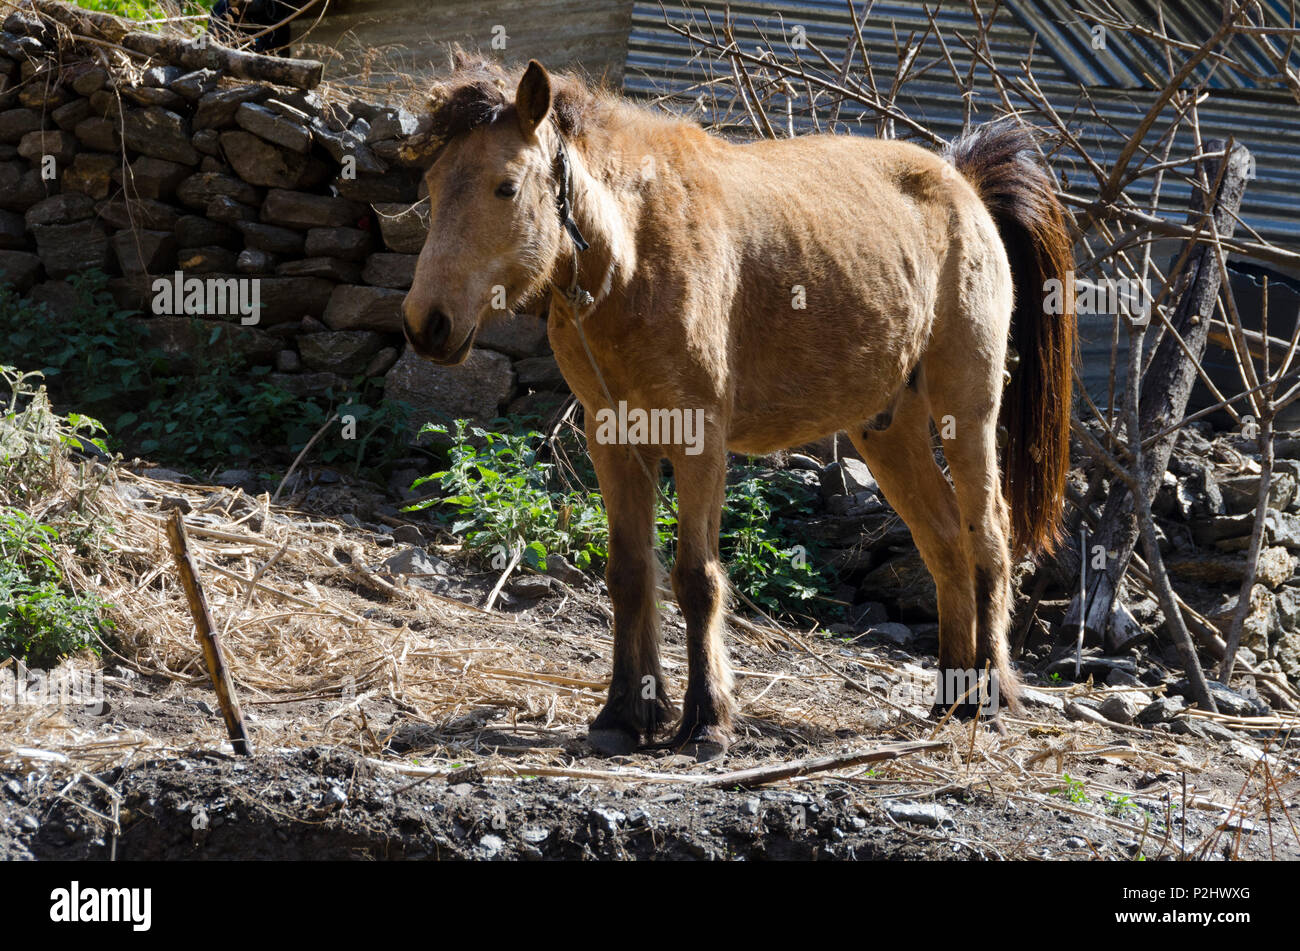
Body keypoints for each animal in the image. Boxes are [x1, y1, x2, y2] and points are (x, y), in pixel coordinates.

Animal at [401, 55, 1076, 761]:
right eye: (433, 182)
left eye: (505, 187)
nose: (427, 323)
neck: (636, 250)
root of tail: (962, 181)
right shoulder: (614, 441)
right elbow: (630, 574)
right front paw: (626, 715)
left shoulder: (698, 439)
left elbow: (696, 579)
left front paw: (706, 720)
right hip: (889, 431)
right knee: (943, 541)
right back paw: (952, 695)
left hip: (965, 410)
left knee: (988, 534)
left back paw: (991, 694)